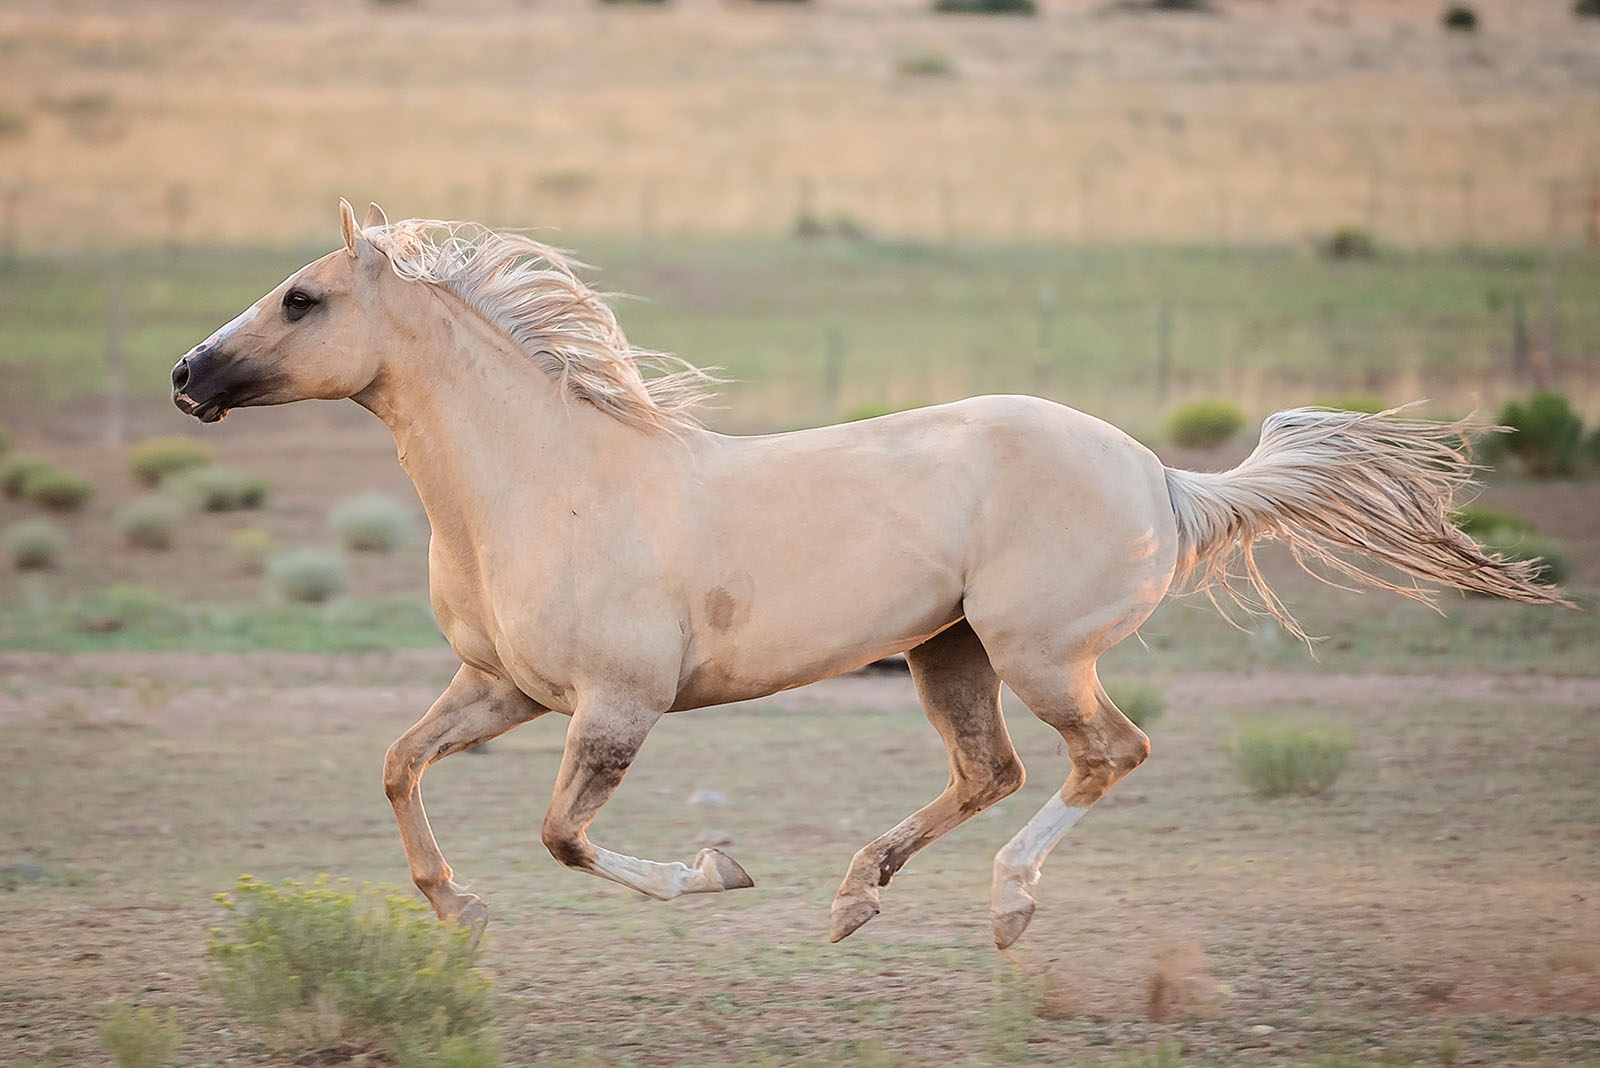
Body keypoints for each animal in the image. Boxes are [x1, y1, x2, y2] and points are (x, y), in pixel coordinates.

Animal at [171, 199, 1561, 950]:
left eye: (298, 299)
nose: (188, 375)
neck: (546, 480)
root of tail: (1163, 477)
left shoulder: (616, 706)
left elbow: (566, 837)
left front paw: (716, 872)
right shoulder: (500, 689)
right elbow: (398, 767)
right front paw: (457, 914)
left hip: (1038, 653)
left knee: (1103, 757)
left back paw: (1003, 911)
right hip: (948, 654)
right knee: (989, 772)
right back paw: (853, 900)